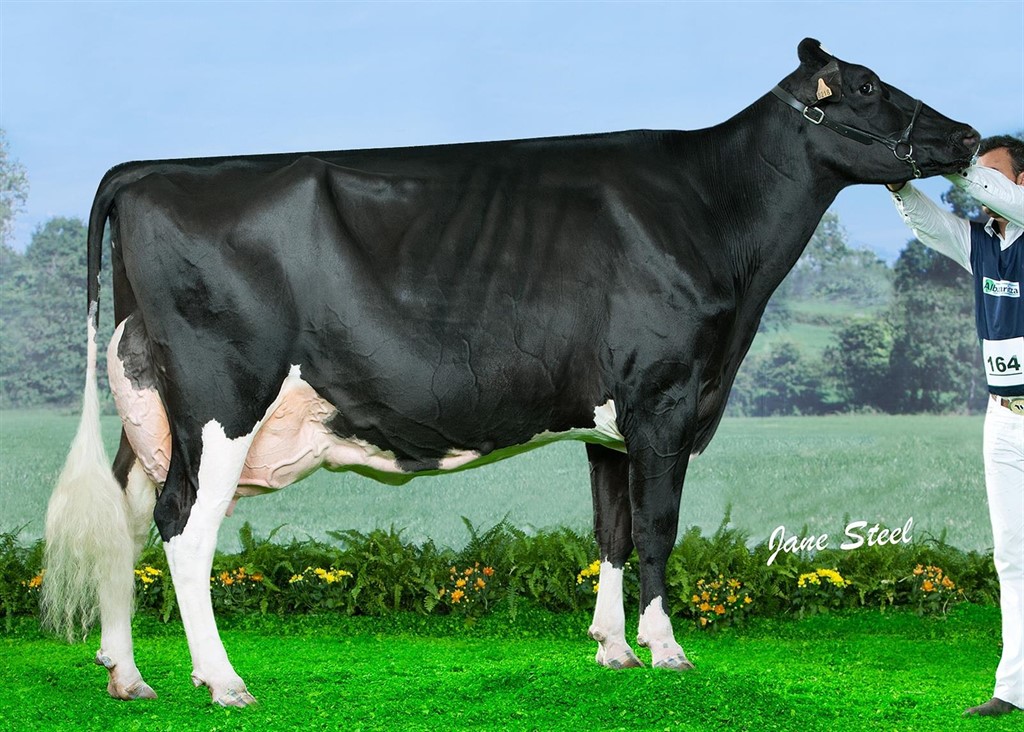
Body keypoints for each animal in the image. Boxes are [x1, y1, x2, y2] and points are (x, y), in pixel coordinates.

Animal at [42, 39, 978, 706]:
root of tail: (147, 171)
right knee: (184, 530)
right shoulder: (665, 400)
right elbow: (658, 529)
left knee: (127, 520)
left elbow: (610, 531)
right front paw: (667, 650)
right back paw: (223, 681)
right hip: (221, 401)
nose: (968, 137)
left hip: (149, 403)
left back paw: (127, 675)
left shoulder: (610, 421)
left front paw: (612, 649)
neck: (711, 214)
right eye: (865, 87)